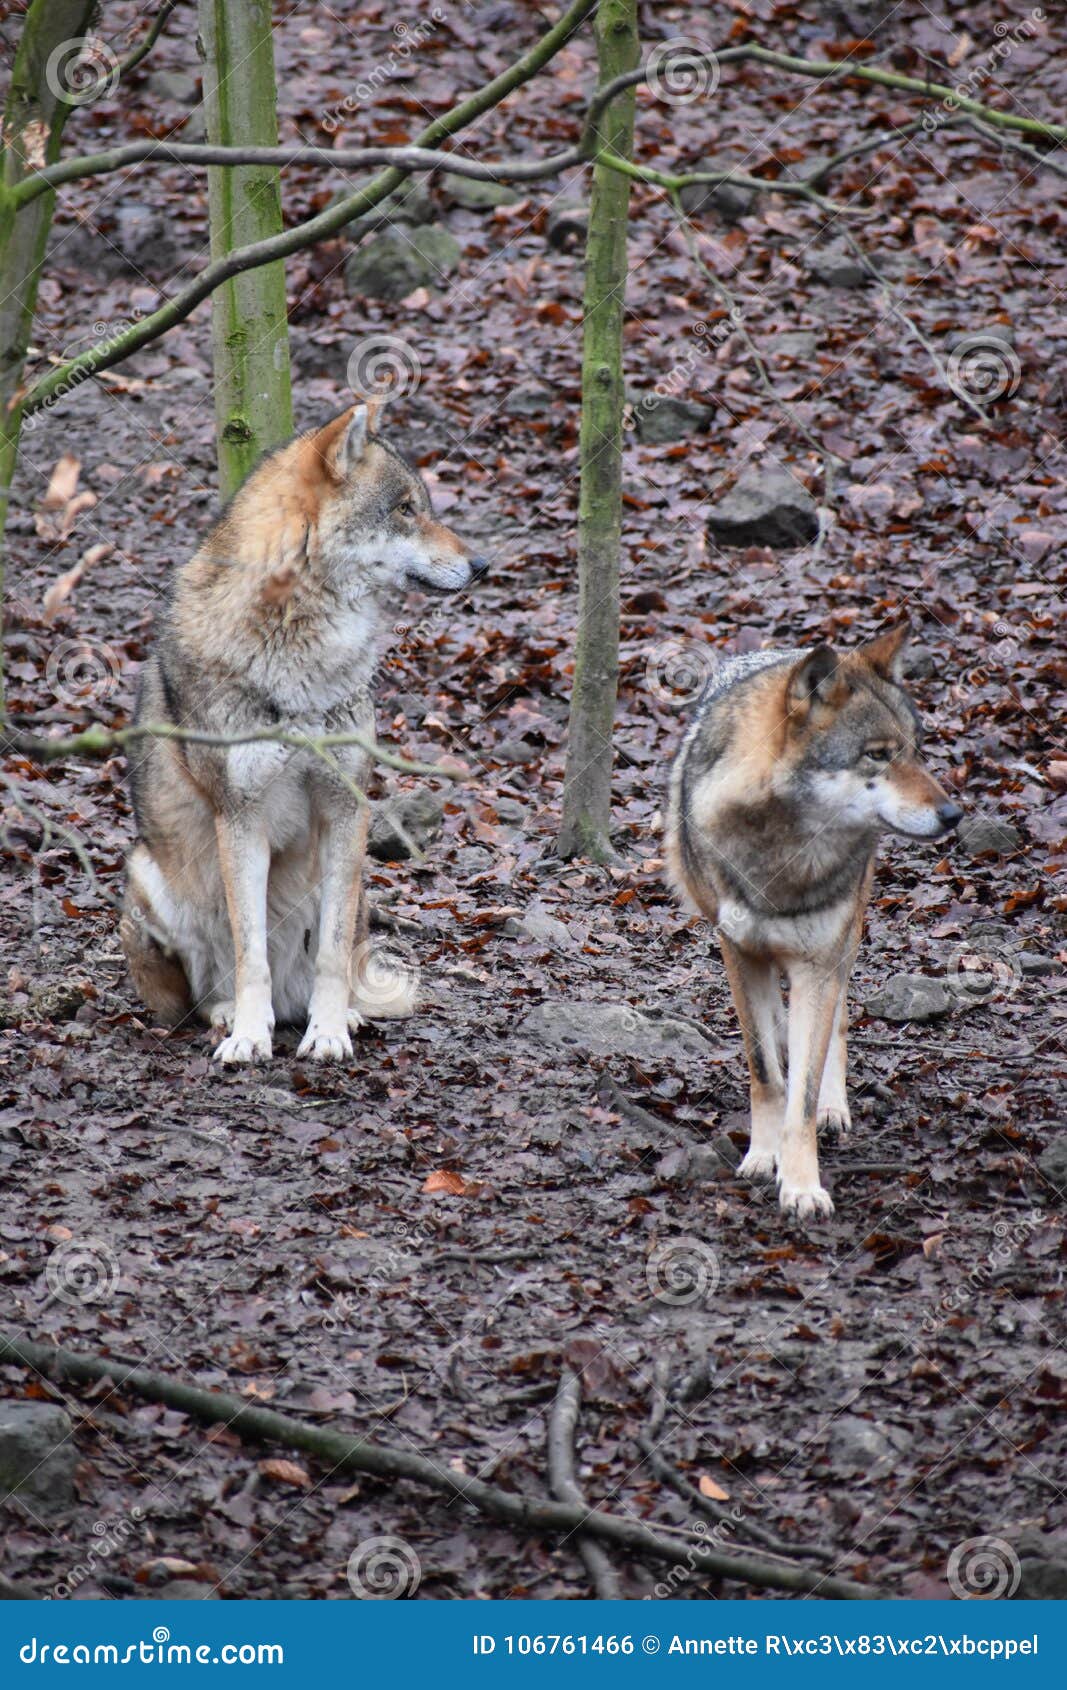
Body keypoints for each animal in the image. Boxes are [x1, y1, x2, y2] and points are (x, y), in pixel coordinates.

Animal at [120, 402, 486, 1065]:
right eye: (406, 509)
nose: (481, 566)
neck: (301, 645)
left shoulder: (347, 807)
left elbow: (335, 950)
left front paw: (331, 1032)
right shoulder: (241, 815)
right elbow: (251, 952)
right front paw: (247, 1035)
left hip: (353, 889)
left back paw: (338, 1014)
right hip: (145, 876)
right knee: (194, 998)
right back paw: (227, 1015)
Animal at [666, 625, 962, 1219]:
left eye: (917, 750)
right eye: (878, 756)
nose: (953, 815)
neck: (786, 853)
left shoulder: (818, 963)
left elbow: (801, 1087)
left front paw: (801, 1184)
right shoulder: (739, 952)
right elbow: (765, 1071)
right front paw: (764, 1156)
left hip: (843, 940)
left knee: (837, 1023)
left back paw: (832, 1108)